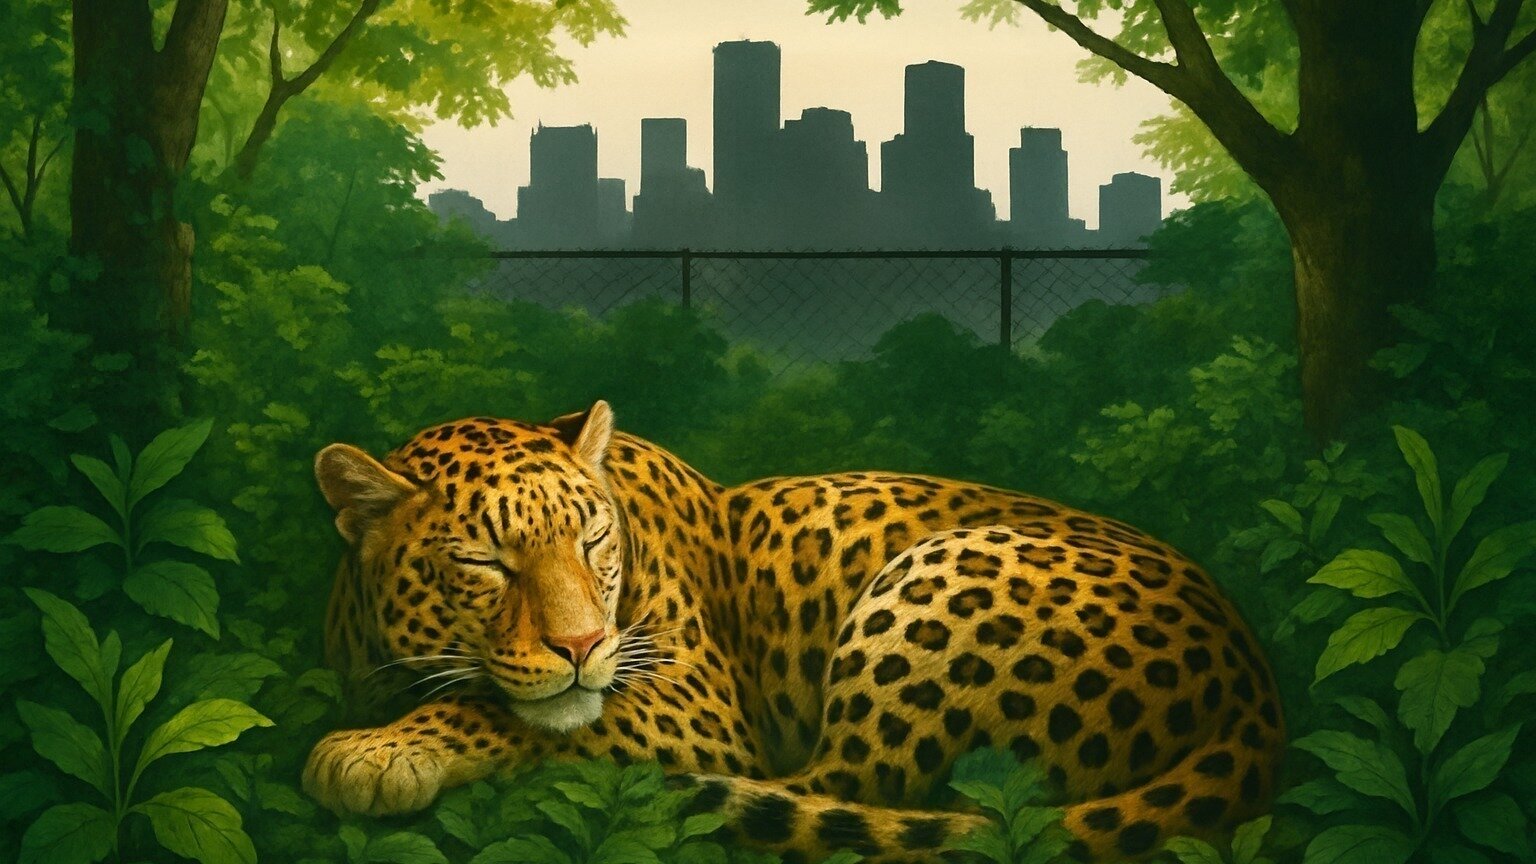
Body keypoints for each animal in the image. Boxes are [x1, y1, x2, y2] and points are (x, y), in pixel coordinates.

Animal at [303, 401, 1284, 862]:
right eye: (484, 562)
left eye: (591, 541)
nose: (581, 648)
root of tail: (1251, 678)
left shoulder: (693, 709)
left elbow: (510, 715)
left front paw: (377, 753)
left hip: (934, 582)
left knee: (844, 800)